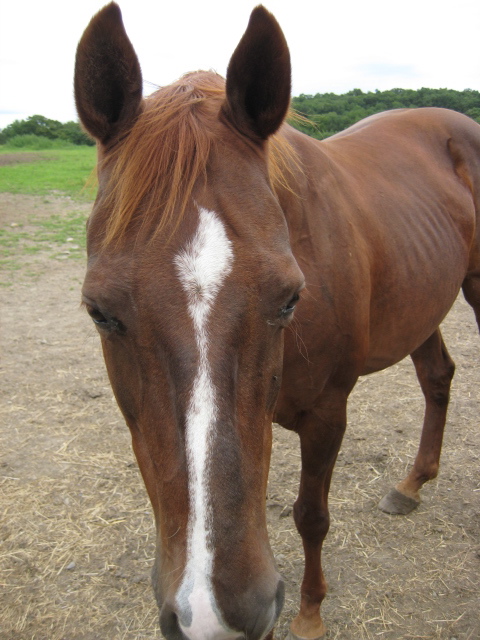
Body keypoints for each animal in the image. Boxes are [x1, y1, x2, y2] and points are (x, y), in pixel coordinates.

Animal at [74, 3, 480, 639]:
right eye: (99, 312)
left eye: (291, 298)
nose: (216, 617)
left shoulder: (328, 412)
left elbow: (311, 515)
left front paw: (310, 614)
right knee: (437, 377)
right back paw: (412, 485)